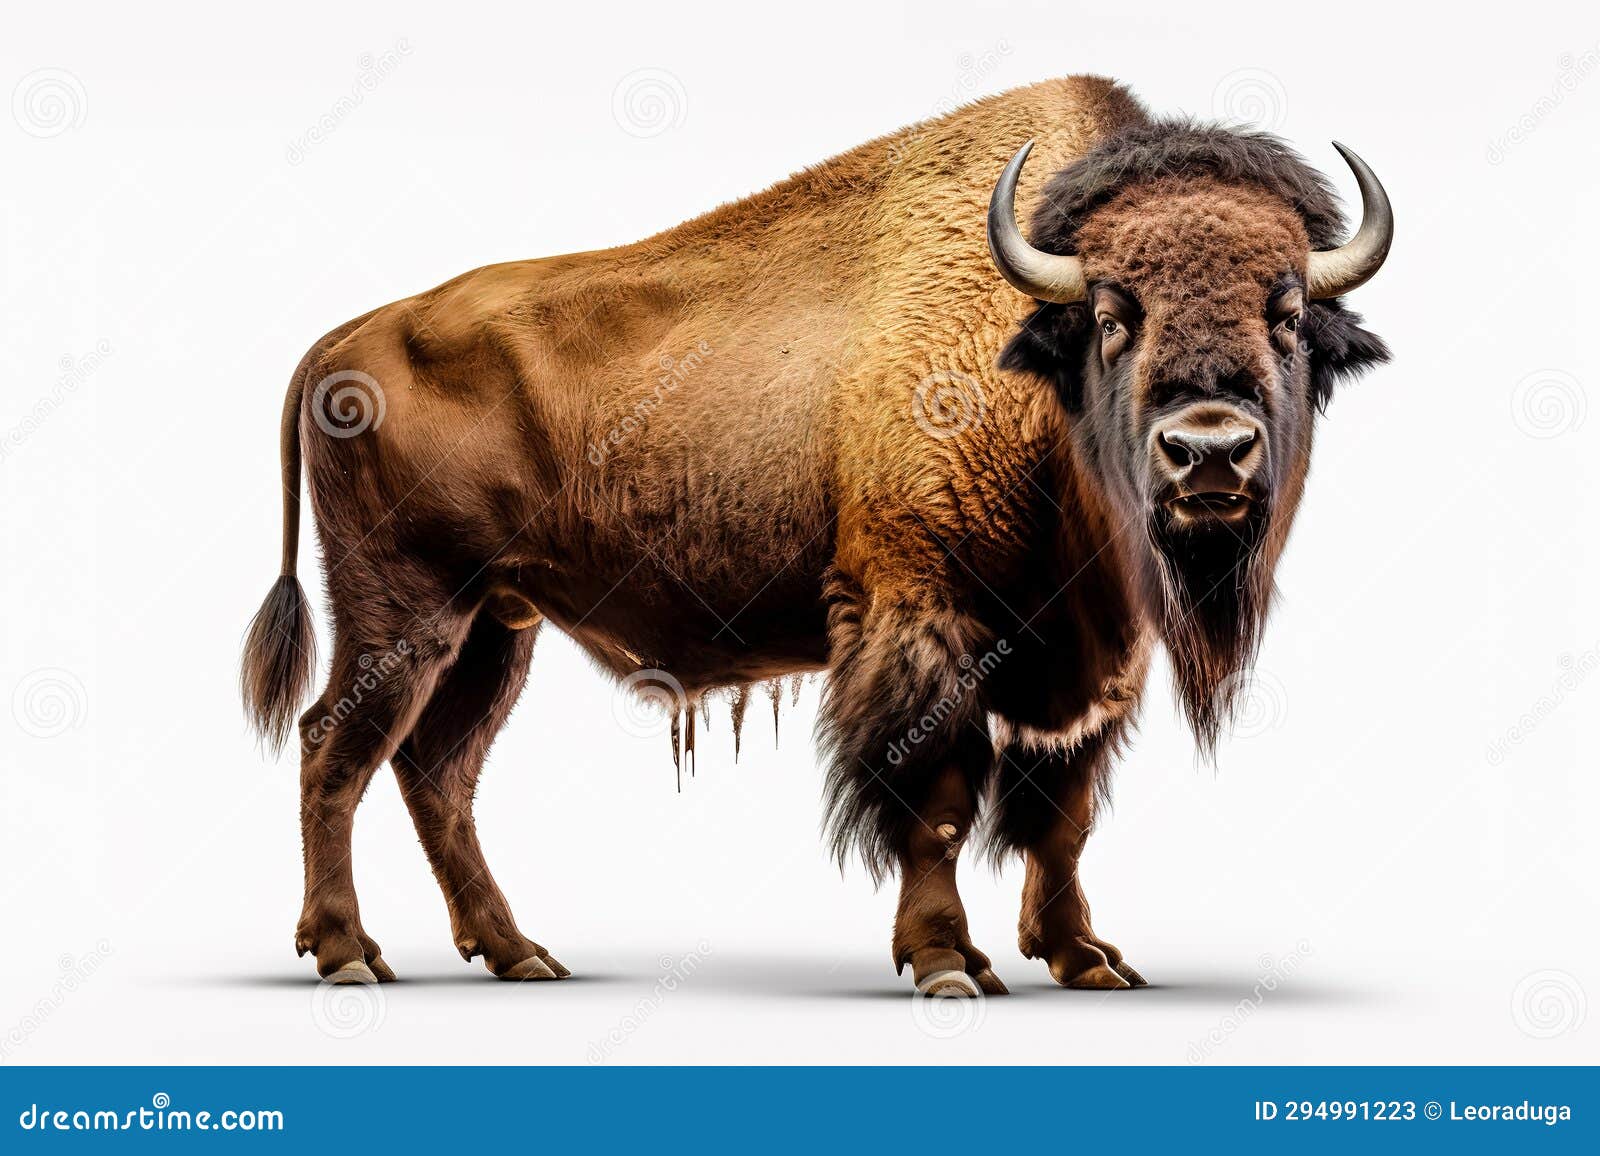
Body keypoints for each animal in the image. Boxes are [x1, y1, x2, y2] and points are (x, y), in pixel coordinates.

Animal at [242, 75, 1390, 993]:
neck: (1027, 360)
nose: (1210, 452)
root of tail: (342, 341)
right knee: (335, 746)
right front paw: (947, 963)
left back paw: (518, 953)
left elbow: (1060, 812)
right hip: (407, 609)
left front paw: (1086, 960)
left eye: (1288, 315)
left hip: (496, 625)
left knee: (436, 770)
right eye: (1113, 315)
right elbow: (936, 794)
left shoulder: (1093, 662)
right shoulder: (920, 616)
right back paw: (348, 953)